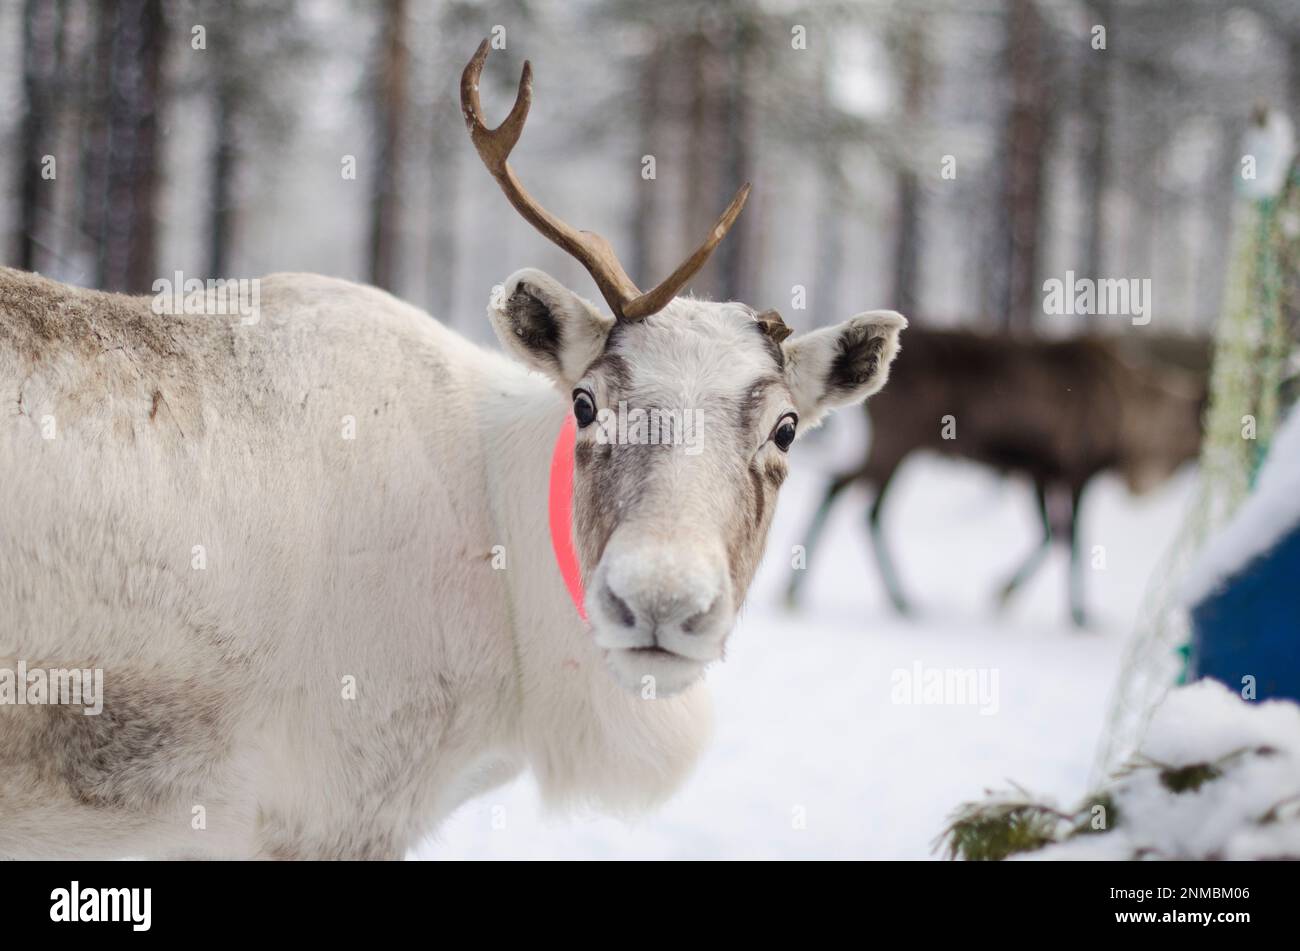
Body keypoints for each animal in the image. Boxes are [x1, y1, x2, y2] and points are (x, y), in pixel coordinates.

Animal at [784, 326, 1205, 627]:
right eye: (1199, 426)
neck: (1135, 424)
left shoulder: (1040, 472)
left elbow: (1052, 535)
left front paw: (1008, 593)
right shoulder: (1073, 472)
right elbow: (1072, 541)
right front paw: (1075, 615)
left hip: (895, 447)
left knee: (848, 494)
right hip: (897, 442)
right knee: (855, 498)